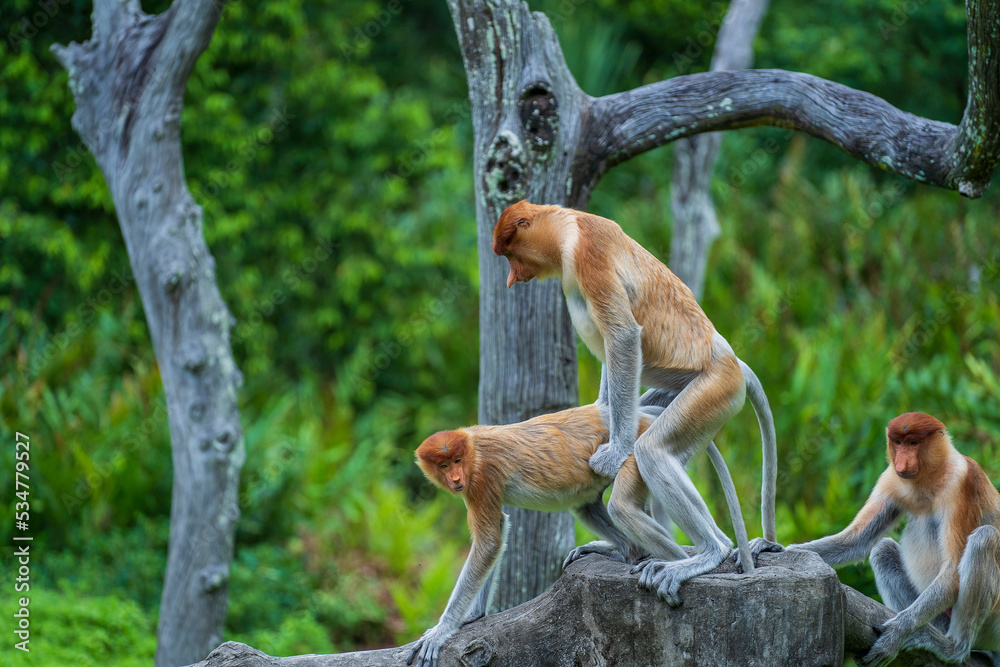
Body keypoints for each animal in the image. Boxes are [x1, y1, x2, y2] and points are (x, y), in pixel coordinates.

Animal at [407, 399, 753, 667]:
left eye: (457, 460)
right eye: (443, 465)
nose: (455, 479)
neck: (472, 448)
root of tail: (644, 417)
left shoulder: (481, 476)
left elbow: (490, 541)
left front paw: (441, 631)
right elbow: (497, 533)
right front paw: (472, 615)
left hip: (634, 451)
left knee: (622, 506)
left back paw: (689, 561)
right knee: (585, 504)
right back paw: (627, 553)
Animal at [491, 200, 778, 603]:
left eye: (509, 254)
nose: (510, 279)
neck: (567, 227)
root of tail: (729, 356)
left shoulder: (589, 255)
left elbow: (622, 337)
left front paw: (614, 453)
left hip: (714, 390)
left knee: (653, 451)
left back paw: (708, 553)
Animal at [753, 412, 1000, 666]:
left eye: (913, 443)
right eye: (898, 443)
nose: (902, 462)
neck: (930, 477)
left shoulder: (961, 482)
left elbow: (952, 572)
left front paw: (895, 634)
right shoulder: (890, 479)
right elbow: (856, 541)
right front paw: (771, 546)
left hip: (993, 625)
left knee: (984, 538)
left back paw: (954, 648)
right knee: (882, 549)